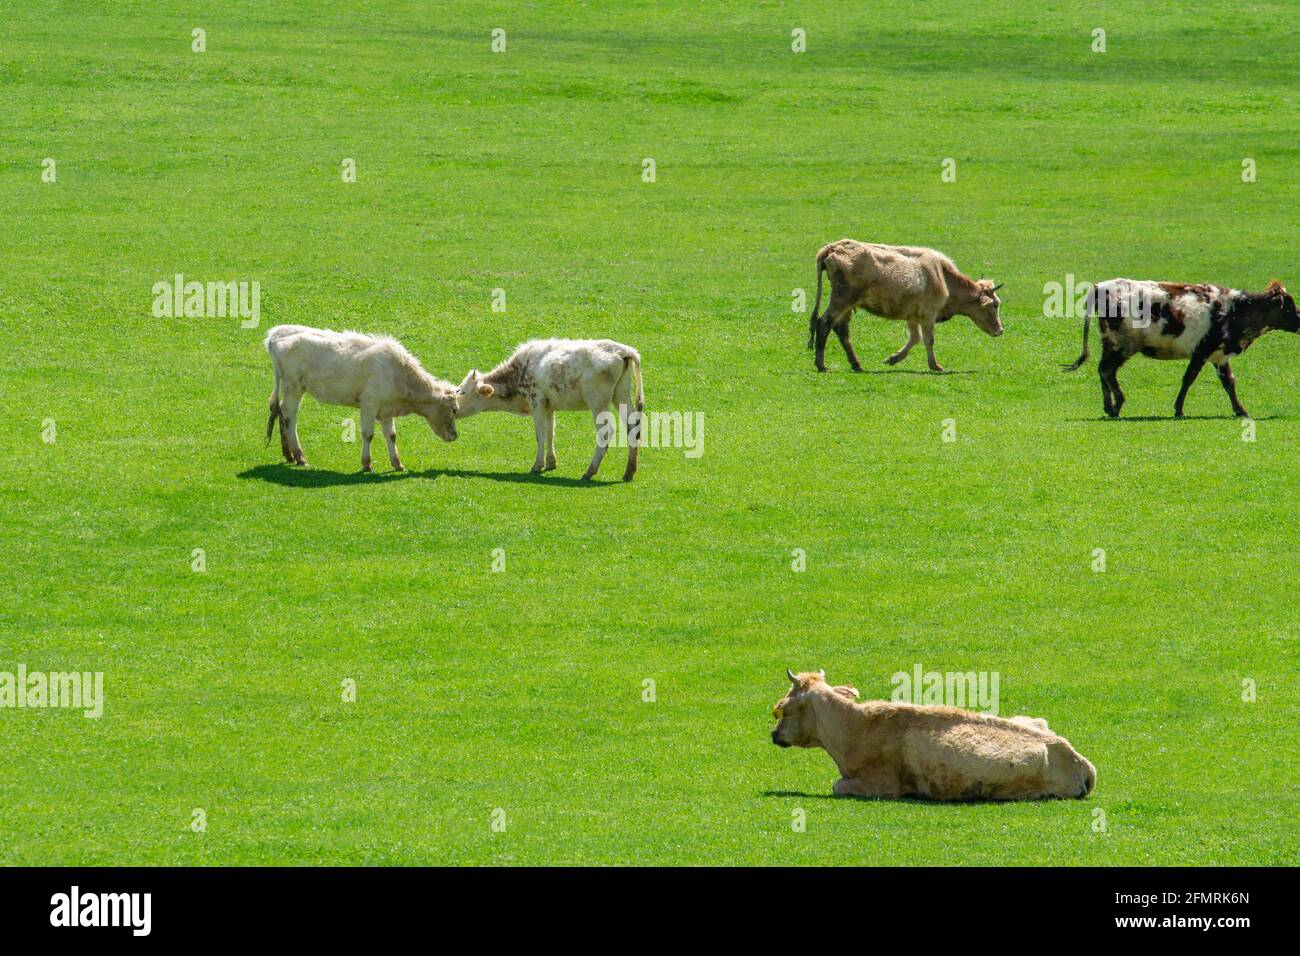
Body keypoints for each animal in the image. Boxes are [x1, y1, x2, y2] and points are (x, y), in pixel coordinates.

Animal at [264, 324, 459, 471]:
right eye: (454, 410)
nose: (455, 436)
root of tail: (276, 333)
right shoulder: (369, 402)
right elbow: (368, 434)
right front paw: (367, 464)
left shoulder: (386, 409)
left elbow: (391, 435)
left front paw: (397, 464)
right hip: (293, 386)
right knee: (289, 415)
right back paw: (300, 457)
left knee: (280, 410)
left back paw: (289, 455)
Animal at [456, 339, 643, 481]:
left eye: (462, 391)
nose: (454, 409)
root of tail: (622, 350)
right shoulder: (549, 406)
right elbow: (550, 433)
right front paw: (551, 462)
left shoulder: (537, 403)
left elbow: (540, 435)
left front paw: (537, 465)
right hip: (621, 394)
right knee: (632, 426)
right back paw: (629, 472)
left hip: (598, 401)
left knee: (606, 432)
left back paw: (589, 472)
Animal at [770, 670, 1095, 801]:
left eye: (785, 709)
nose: (773, 734)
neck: (854, 729)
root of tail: (1080, 761)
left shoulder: (882, 784)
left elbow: (837, 786)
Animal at [807, 240, 1004, 373]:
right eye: (995, 305)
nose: (1000, 330)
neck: (942, 276)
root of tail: (833, 247)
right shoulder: (928, 314)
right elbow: (928, 340)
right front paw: (935, 365)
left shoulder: (912, 316)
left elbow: (915, 338)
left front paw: (894, 358)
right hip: (842, 299)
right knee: (824, 323)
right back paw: (821, 365)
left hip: (848, 305)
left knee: (841, 330)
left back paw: (856, 364)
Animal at [1063, 278, 1299, 418]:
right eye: (1289, 306)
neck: (1234, 311)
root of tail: (1099, 288)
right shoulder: (1202, 351)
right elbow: (1189, 378)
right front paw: (1179, 409)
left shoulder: (1219, 355)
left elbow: (1229, 382)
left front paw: (1240, 410)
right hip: (1122, 345)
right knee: (1107, 370)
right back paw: (1118, 403)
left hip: (1111, 344)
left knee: (1103, 370)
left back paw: (1109, 406)